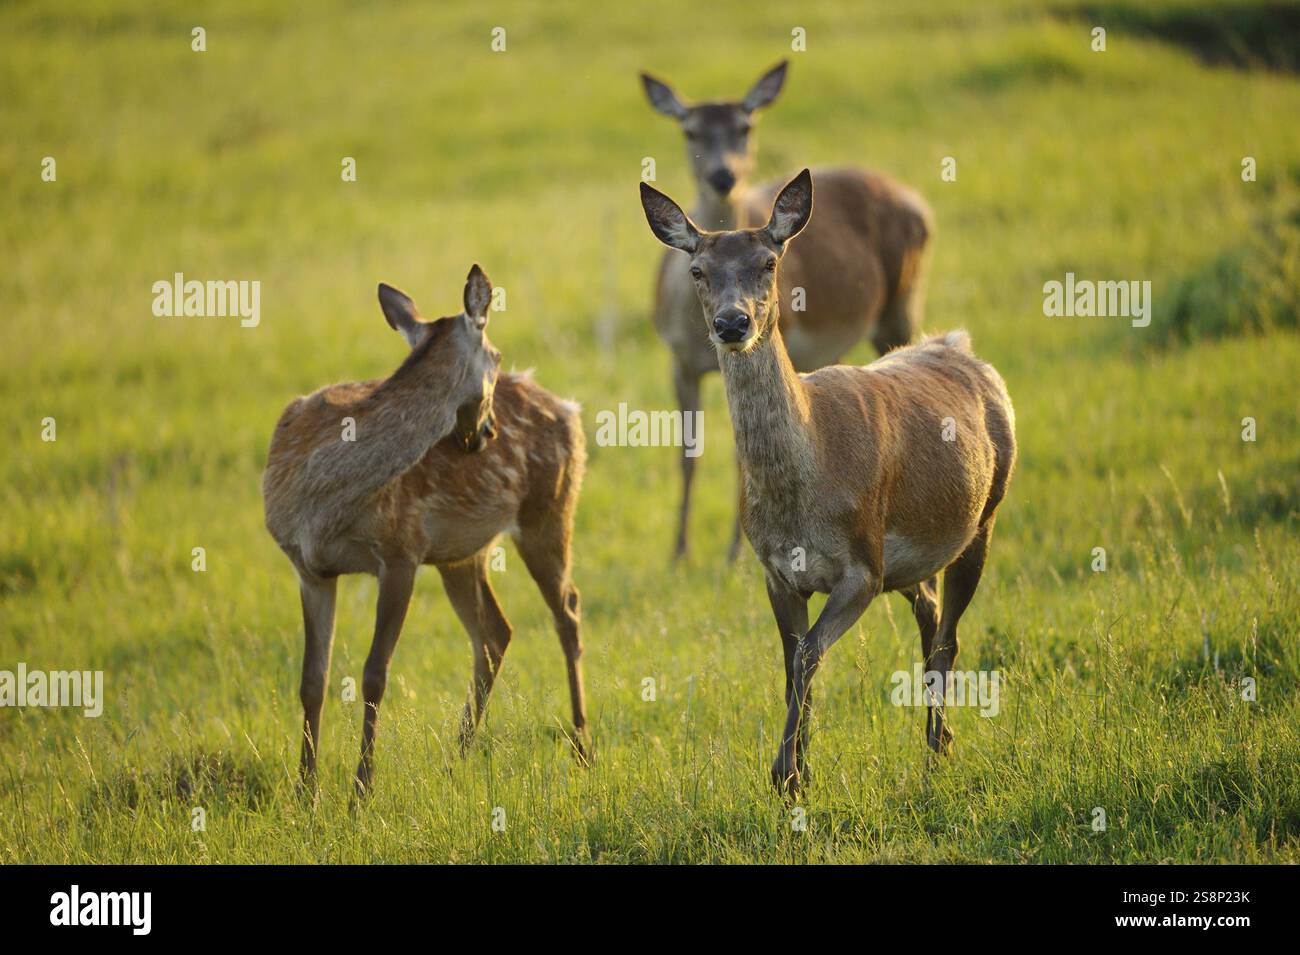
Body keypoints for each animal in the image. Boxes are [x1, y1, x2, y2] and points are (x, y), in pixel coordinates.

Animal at [262, 264, 588, 796]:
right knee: (495, 632)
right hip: (462, 553)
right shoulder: (308, 567)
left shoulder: (401, 551)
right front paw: (305, 791)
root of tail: (570, 408)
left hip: (551, 510)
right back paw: (457, 758)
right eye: (497, 355)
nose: (487, 432)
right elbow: (312, 679)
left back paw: (582, 748)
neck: (323, 503)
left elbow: (375, 674)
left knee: (568, 612)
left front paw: (361, 790)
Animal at [639, 171, 1016, 797]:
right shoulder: (775, 571)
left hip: (983, 515)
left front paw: (784, 772)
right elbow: (791, 660)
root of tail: (961, 348)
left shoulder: (863, 565)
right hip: (909, 563)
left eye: (769, 262)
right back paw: (935, 739)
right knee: (931, 612)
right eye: (697, 269)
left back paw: (938, 751)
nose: (732, 323)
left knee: (951, 635)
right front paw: (801, 769)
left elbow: (810, 654)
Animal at [641, 61, 934, 561]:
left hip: (902, 301)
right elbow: (687, 454)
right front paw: (678, 553)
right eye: (690, 130)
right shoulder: (677, 358)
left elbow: (738, 456)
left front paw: (733, 554)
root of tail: (918, 200)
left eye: (746, 126)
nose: (723, 175)